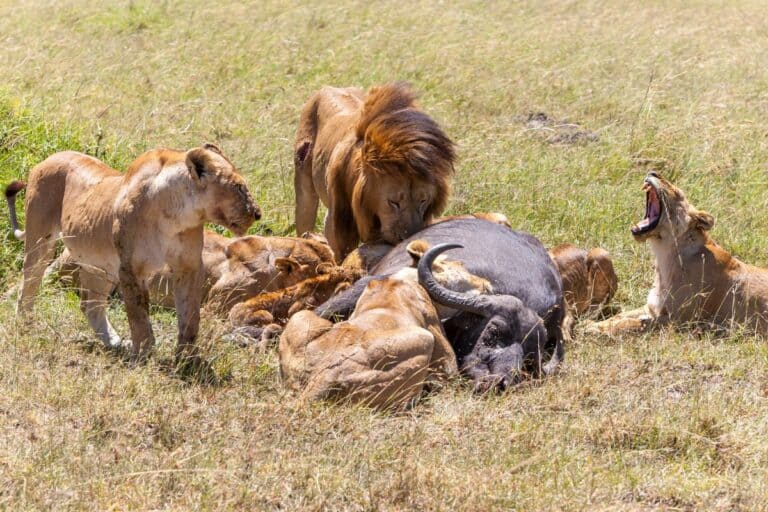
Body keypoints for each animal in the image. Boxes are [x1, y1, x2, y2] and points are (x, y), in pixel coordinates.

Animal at [9, 144, 261, 362]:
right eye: (239, 187)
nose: (258, 214)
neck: (175, 214)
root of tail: (51, 157)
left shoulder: (188, 266)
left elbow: (190, 317)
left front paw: (187, 359)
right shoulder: (131, 267)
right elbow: (139, 315)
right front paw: (143, 354)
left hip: (98, 264)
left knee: (91, 306)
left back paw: (115, 343)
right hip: (40, 240)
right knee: (29, 284)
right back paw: (25, 324)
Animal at [294, 82, 455, 261]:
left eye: (423, 201)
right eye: (393, 202)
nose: (407, 239)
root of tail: (329, 87)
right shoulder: (336, 225)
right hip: (304, 193)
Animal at [593, 172, 768, 335]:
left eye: (675, 191)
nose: (652, 172)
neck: (664, 255)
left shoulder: (677, 321)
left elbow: (629, 323)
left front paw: (591, 328)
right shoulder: (652, 307)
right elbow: (620, 317)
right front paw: (594, 323)